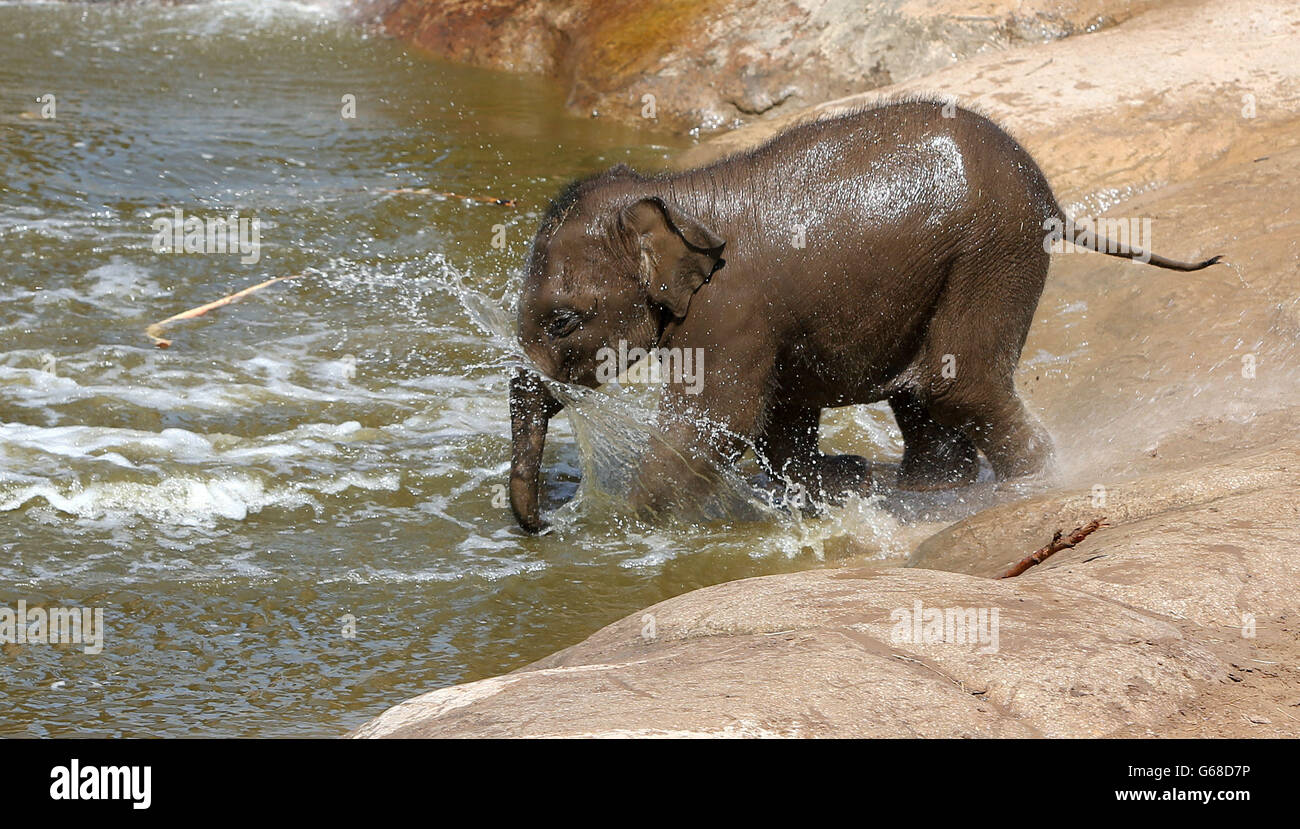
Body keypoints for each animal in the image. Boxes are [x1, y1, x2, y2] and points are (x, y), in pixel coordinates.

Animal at [508, 99, 1222, 533]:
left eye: (563, 321)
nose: (542, 525)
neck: (674, 191)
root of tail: (1055, 200)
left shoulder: (731, 310)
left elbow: (721, 417)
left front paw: (628, 529)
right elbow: (780, 416)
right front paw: (827, 488)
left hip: (993, 251)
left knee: (956, 383)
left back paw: (1031, 484)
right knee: (923, 393)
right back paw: (926, 492)